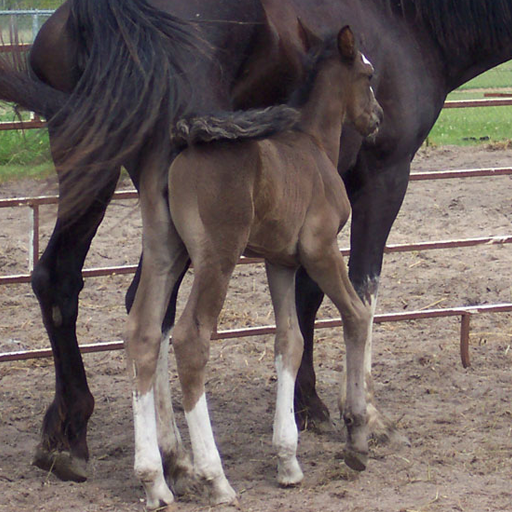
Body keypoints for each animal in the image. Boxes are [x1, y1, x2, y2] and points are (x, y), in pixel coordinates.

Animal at [0, 0, 510, 484]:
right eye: (369, 76)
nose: (377, 117)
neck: (410, 23)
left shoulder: (299, 232)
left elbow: (302, 310)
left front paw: (307, 409)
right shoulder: (384, 178)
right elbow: (362, 293)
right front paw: (363, 415)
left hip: (90, 161)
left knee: (67, 283)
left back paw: (72, 440)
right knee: (164, 320)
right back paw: (181, 461)